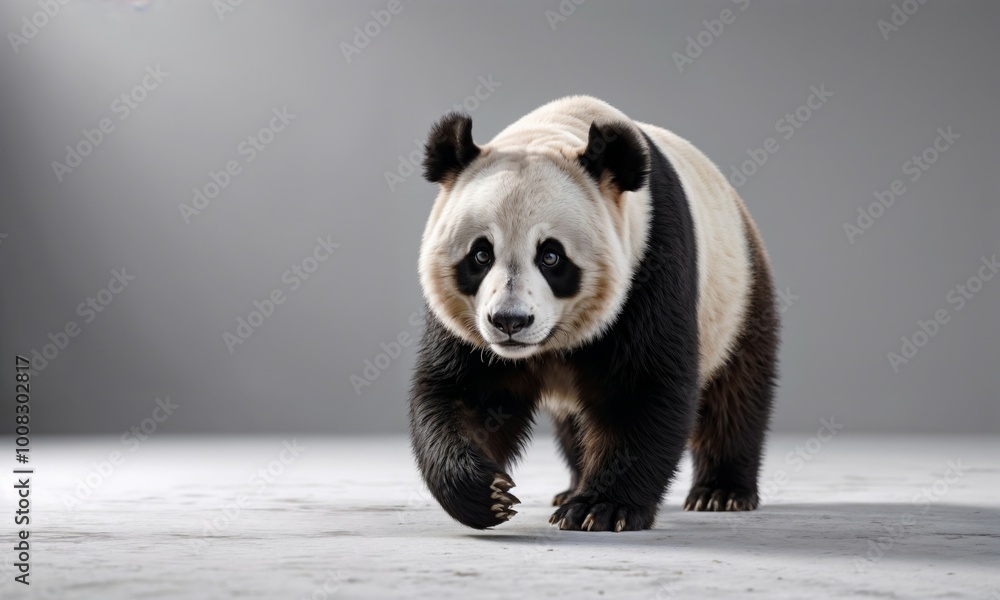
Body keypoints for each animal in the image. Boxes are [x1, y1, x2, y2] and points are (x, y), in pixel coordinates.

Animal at [409, 95, 779, 532]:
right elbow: (465, 395)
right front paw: (488, 495)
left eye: (551, 256)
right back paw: (571, 486)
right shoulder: (469, 330)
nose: (510, 322)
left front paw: (600, 508)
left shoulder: (649, 263)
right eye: (481, 255)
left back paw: (721, 492)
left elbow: (641, 389)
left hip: (737, 293)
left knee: (735, 393)